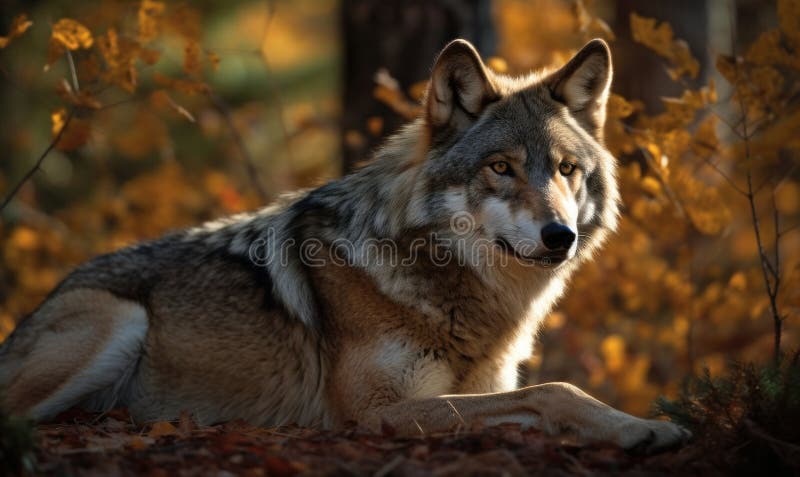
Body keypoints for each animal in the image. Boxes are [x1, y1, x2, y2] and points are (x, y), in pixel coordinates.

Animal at [0, 38, 689, 453]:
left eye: (567, 170)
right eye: (501, 168)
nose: (559, 235)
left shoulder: (480, 386)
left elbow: (537, 394)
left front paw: (640, 423)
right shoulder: (376, 408)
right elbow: (553, 391)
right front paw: (643, 428)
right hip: (118, 320)